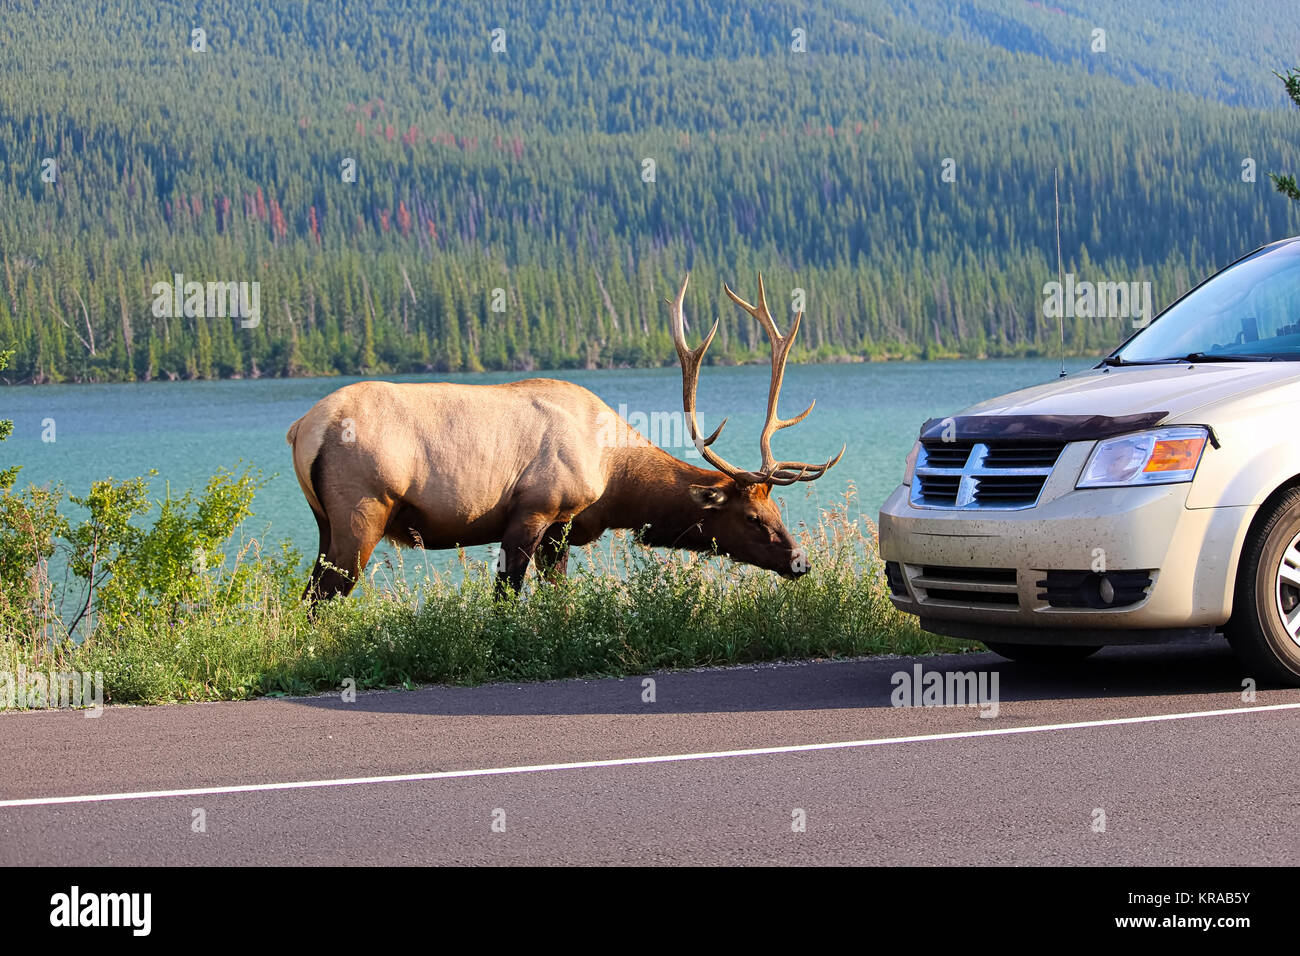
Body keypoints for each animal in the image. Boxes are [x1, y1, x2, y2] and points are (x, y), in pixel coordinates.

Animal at [286, 273, 844, 602]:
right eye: (751, 517)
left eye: (777, 509)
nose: (800, 561)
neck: (613, 478)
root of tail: (301, 428)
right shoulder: (533, 509)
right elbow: (506, 599)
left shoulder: (561, 528)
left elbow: (559, 599)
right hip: (363, 510)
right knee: (323, 597)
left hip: (323, 521)